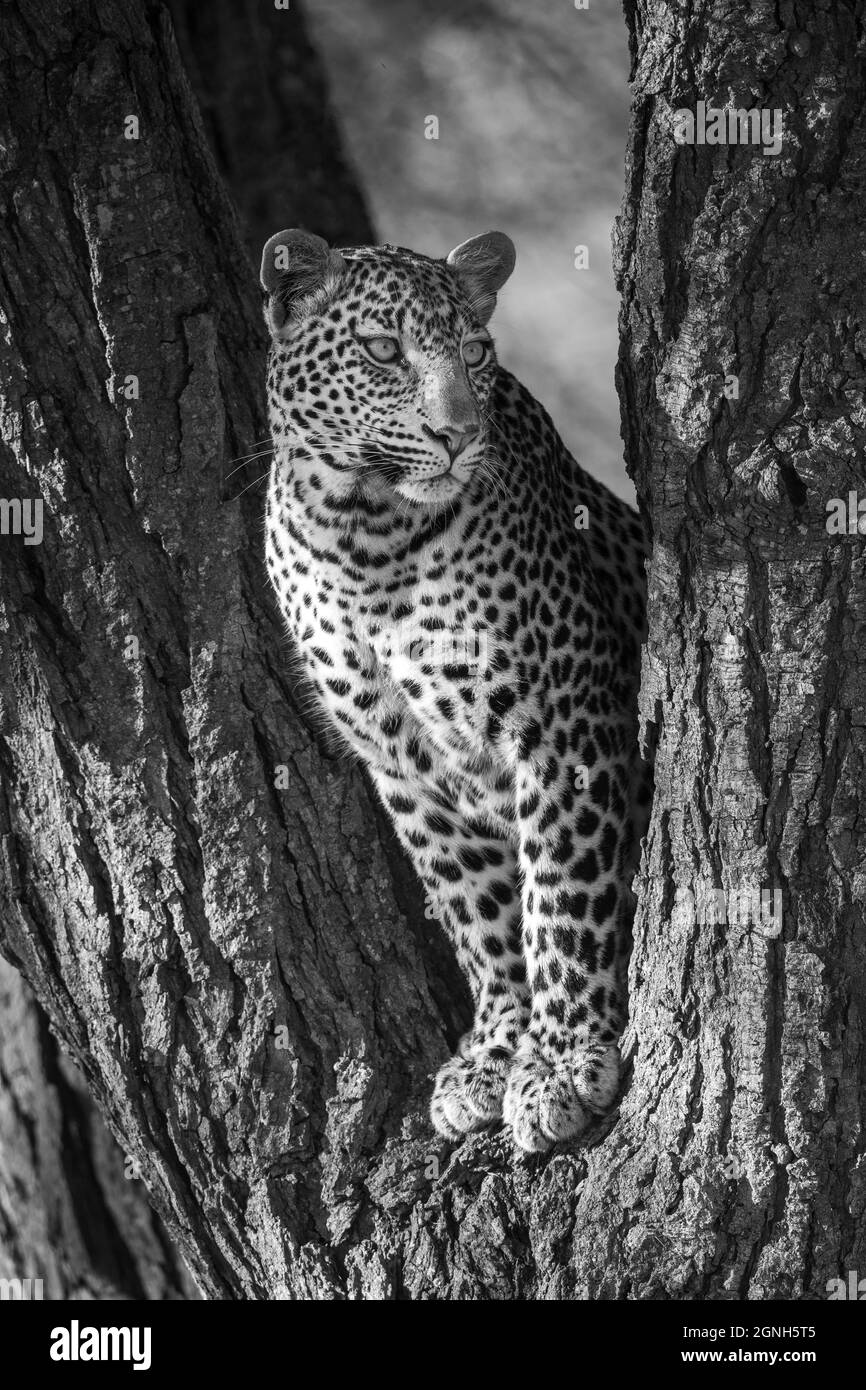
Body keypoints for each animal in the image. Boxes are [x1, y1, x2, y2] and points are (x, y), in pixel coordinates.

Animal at [259, 227, 651, 1152]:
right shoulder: (403, 761)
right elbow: (477, 904)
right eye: (381, 351)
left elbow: (559, 893)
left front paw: (560, 1059)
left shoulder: (563, 714)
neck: (361, 530)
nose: (456, 435)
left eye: (474, 353)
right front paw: (498, 1051)